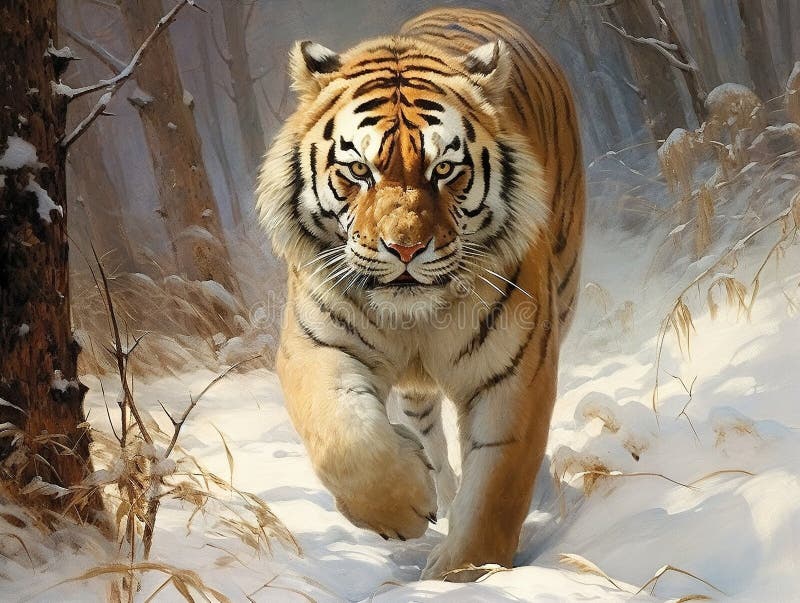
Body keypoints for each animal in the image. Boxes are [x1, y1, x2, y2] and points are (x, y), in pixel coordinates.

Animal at [256, 7, 584, 581]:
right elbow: (346, 443)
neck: (415, 319)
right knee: (425, 426)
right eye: (358, 170)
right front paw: (404, 506)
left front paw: (464, 576)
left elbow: (496, 489)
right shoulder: (317, 347)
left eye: (445, 169)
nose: (405, 247)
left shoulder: (513, 372)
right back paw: (438, 490)